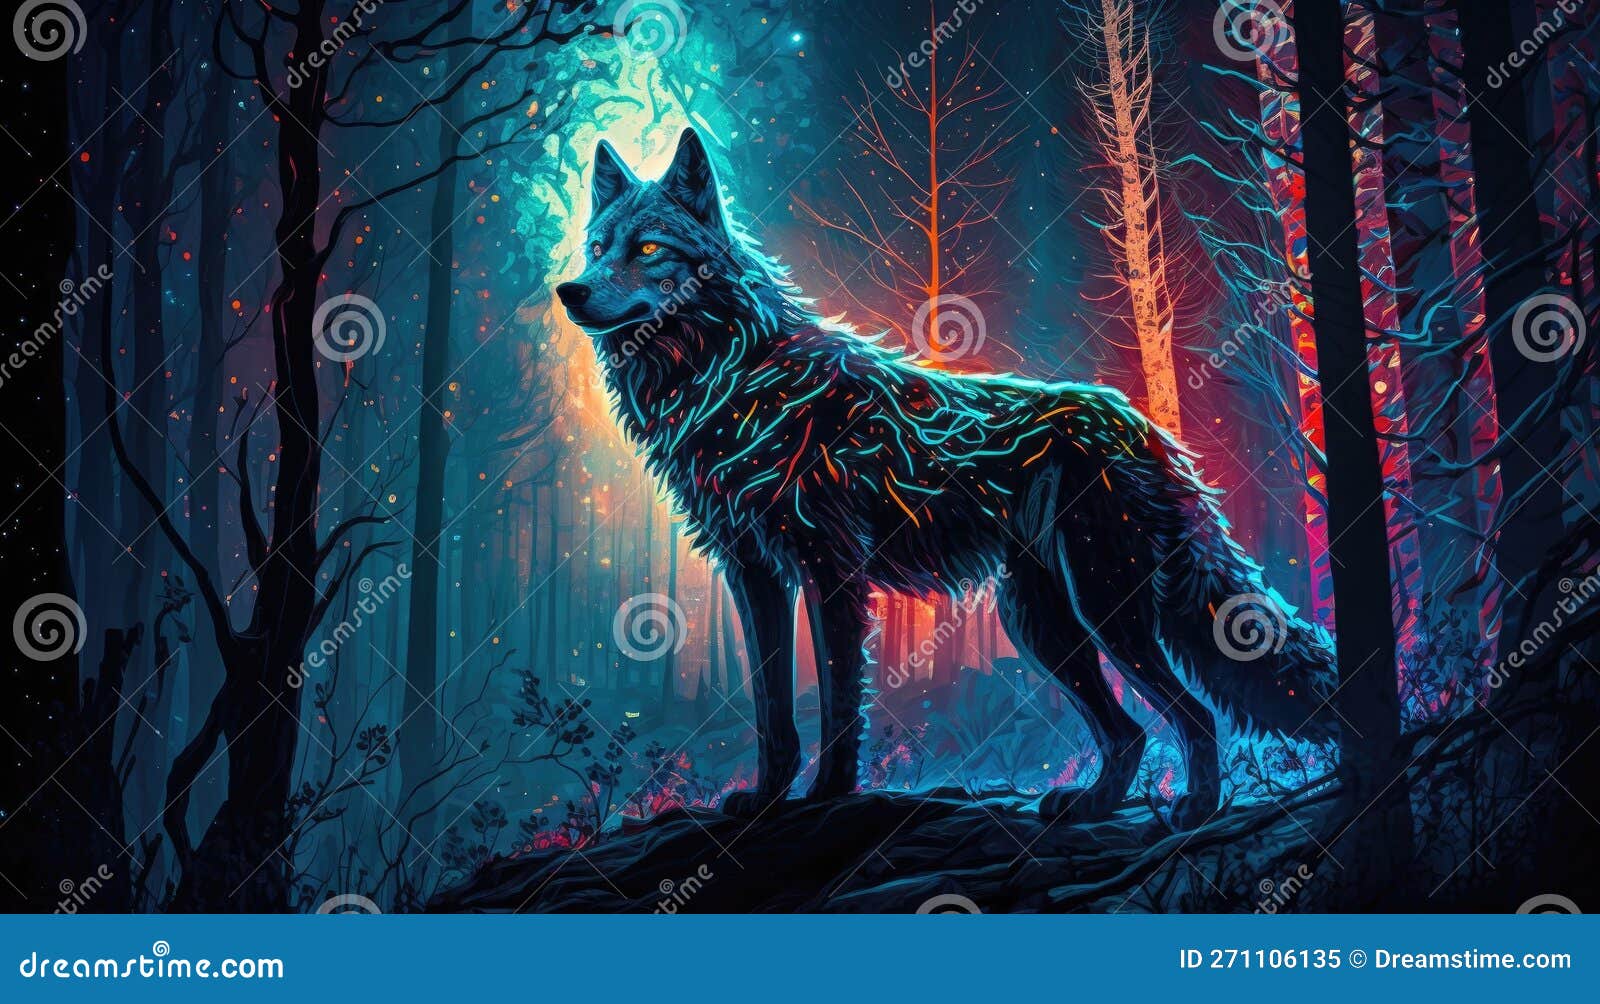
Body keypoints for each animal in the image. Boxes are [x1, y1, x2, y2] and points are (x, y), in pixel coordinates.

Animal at [558, 129, 1338, 826]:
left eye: (648, 249)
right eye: (597, 248)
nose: (570, 291)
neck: (731, 376)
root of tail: (1146, 428)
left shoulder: (831, 570)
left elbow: (841, 701)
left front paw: (829, 796)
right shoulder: (753, 572)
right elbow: (771, 708)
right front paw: (769, 798)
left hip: (1101, 610)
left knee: (1194, 715)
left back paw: (1194, 811)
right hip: (1041, 625)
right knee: (1130, 732)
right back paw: (1091, 807)